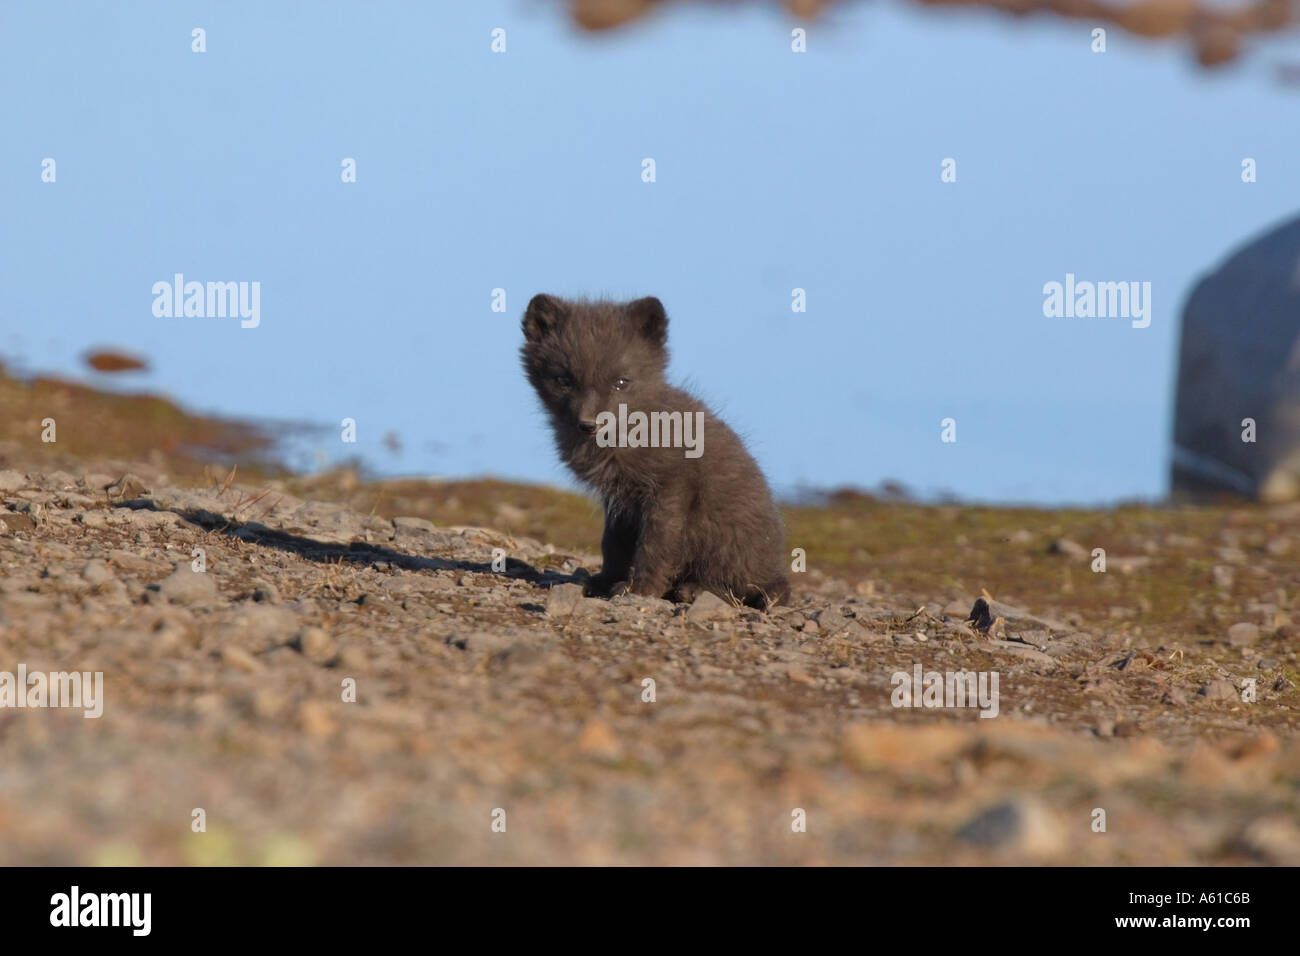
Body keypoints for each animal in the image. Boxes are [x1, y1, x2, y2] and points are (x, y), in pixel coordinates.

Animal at [521, 293, 788, 609]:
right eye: (563, 381)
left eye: (621, 382)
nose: (589, 424)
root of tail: (776, 569)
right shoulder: (618, 499)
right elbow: (613, 544)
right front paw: (606, 581)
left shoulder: (670, 488)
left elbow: (656, 544)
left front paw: (640, 589)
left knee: (744, 587)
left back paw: (695, 590)